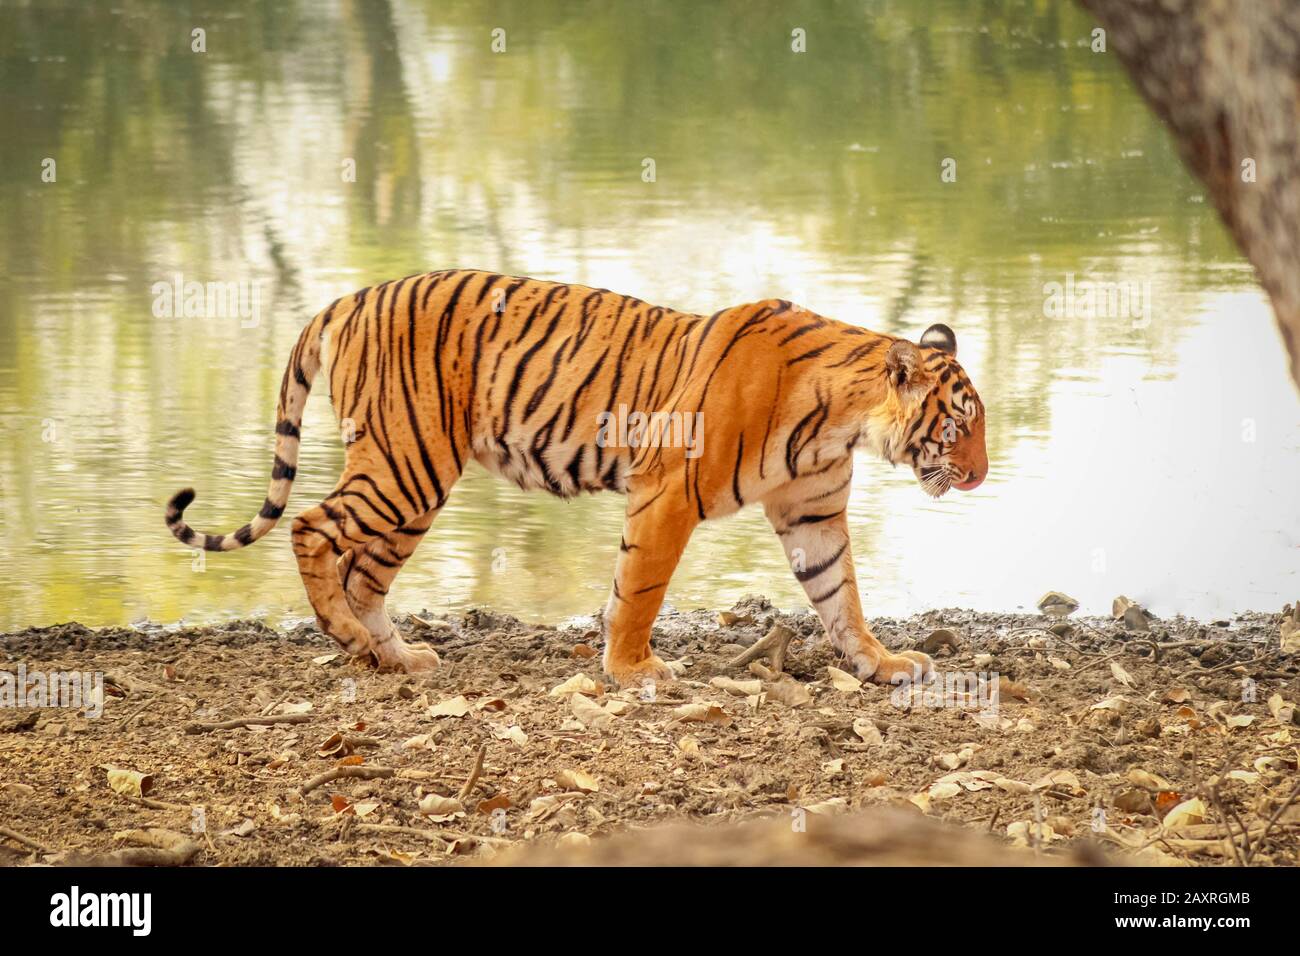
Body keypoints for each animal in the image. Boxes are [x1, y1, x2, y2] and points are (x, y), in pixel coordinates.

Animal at [165, 270, 987, 688]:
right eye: (960, 422)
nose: (982, 477)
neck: (843, 419)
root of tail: (348, 296)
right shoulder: (668, 492)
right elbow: (640, 589)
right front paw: (634, 669)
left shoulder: (812, 515)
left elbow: (841, 596)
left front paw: (884, 664)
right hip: (405, 464)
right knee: (311, 528)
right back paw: (344, 639)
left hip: (415, 483)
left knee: (364, 572)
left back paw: (391, 655)